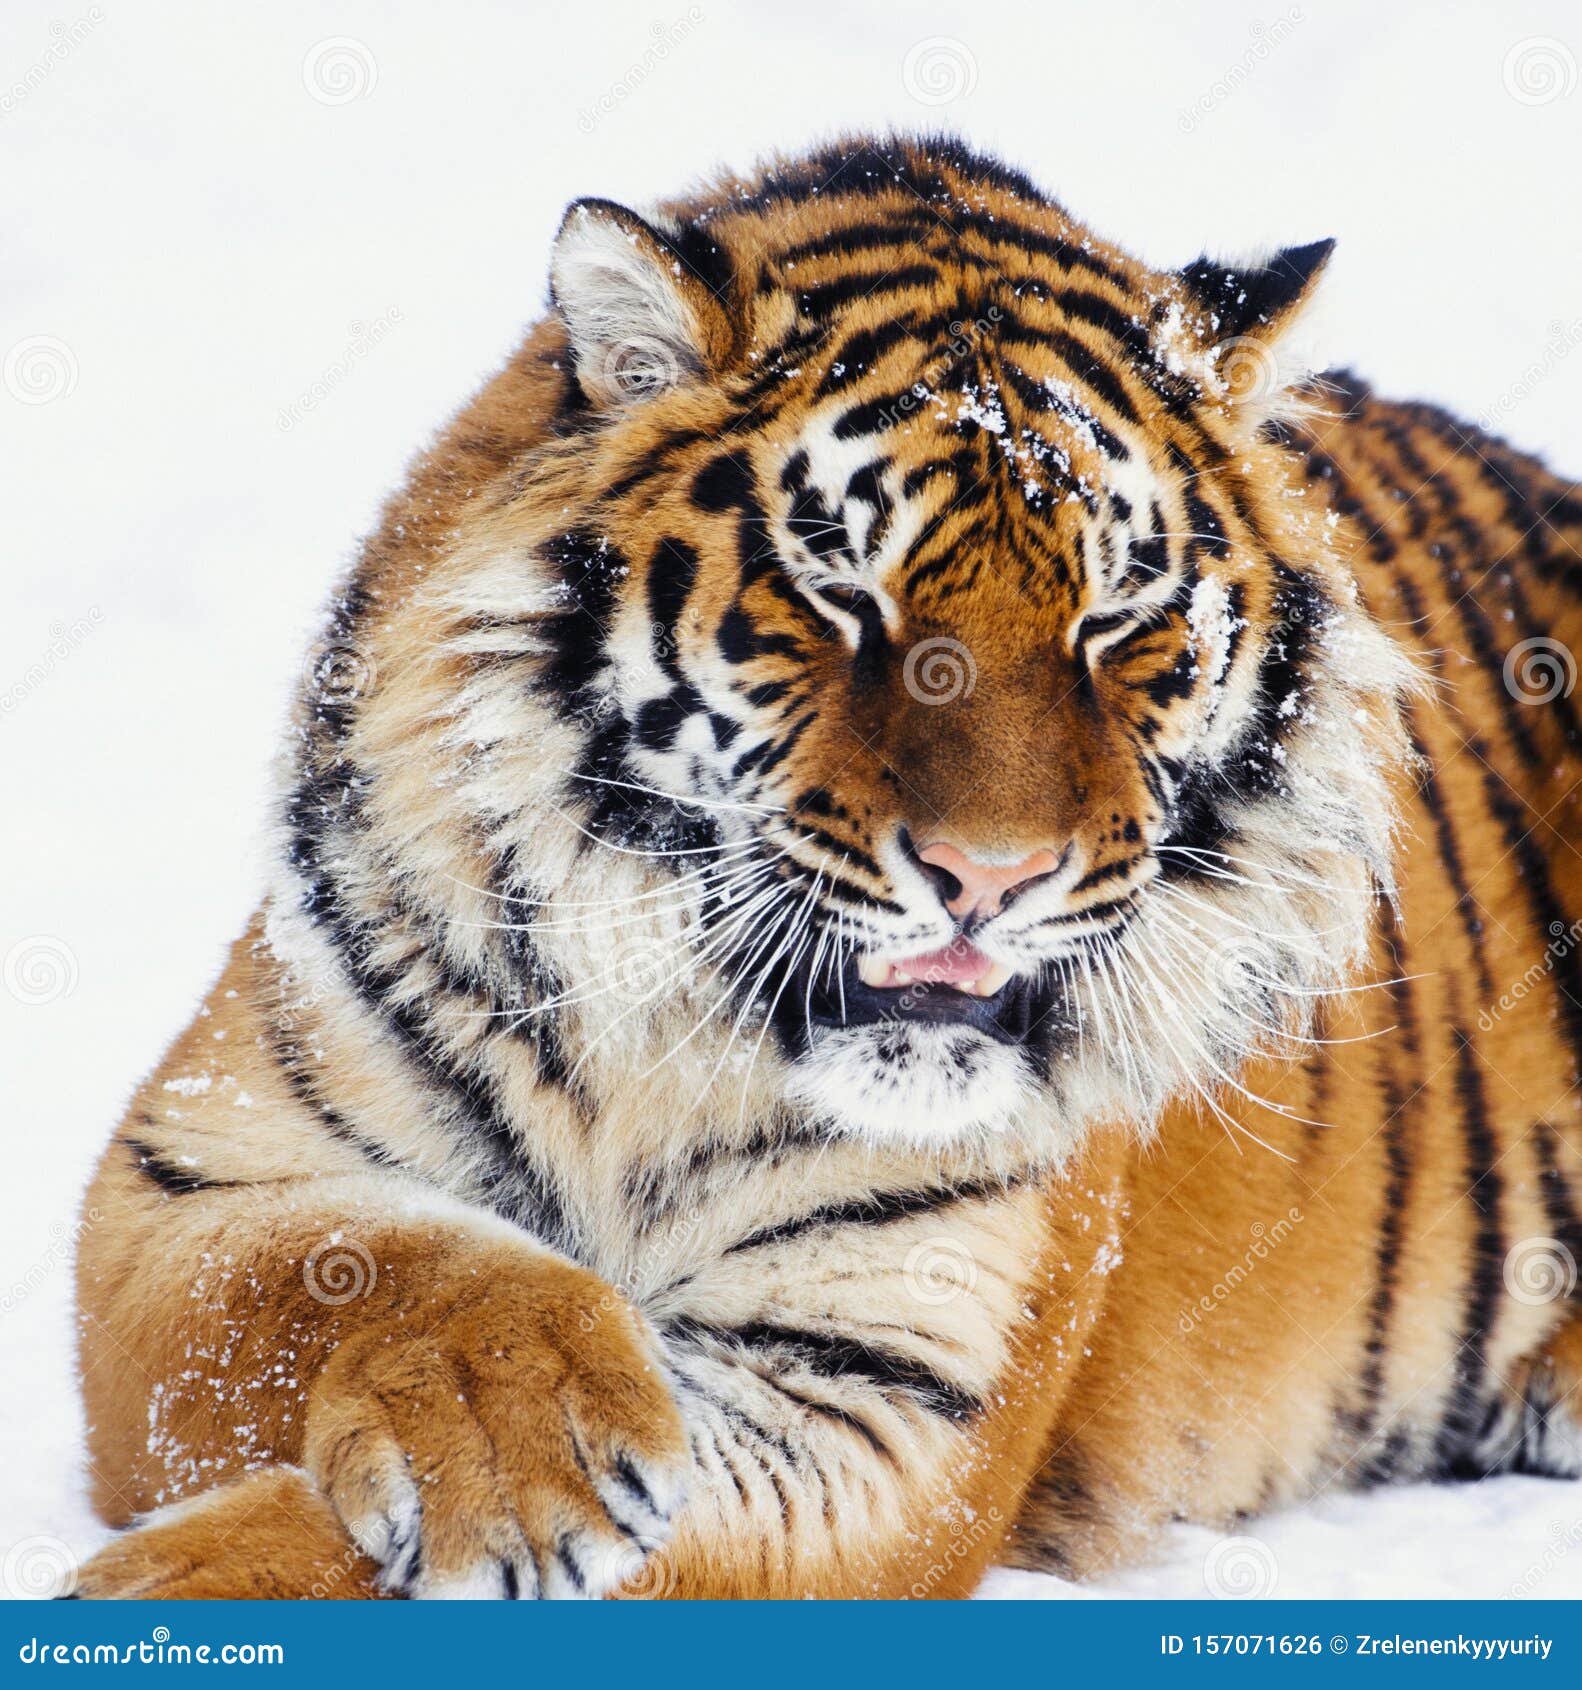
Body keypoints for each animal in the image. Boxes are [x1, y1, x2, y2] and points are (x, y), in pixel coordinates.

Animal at [72, 135, 1582, 1601]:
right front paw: (517, 1423)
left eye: (1113, 621)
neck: (658, 1058)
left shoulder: (893, 1399)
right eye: (843, 596)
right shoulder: (181, 1177)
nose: (989, 876)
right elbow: (386, 1262)